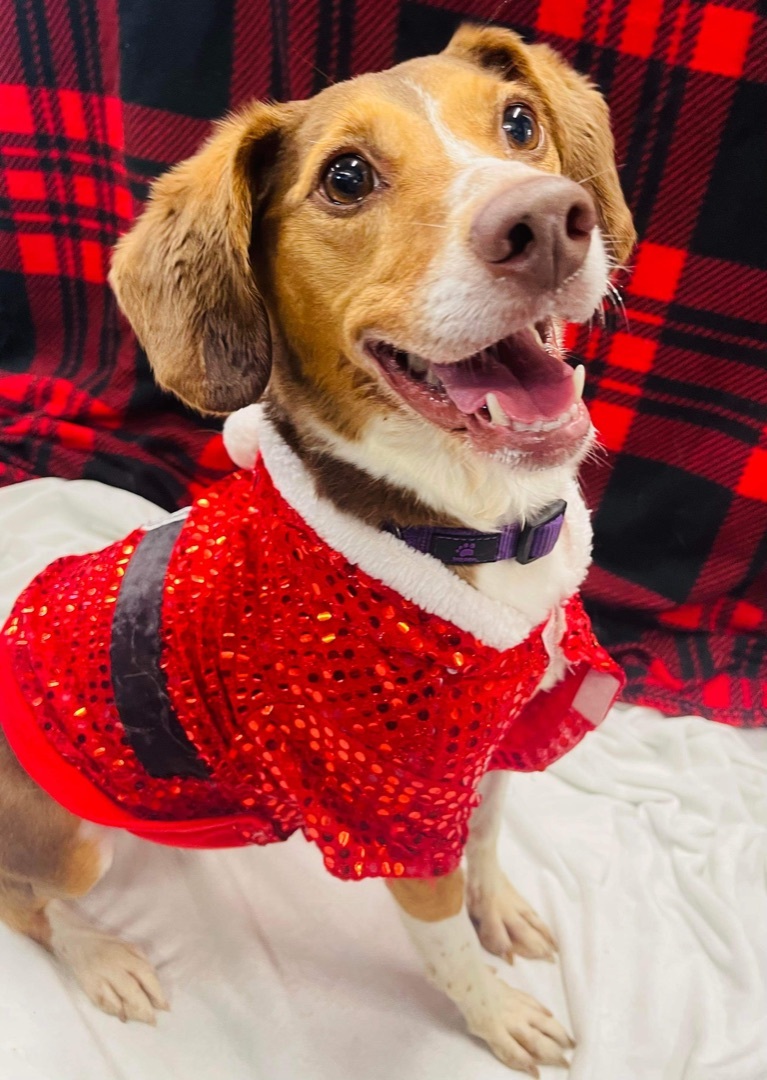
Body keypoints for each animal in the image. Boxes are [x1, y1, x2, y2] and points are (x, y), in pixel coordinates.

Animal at [0, 25, 635, 1080]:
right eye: (345, 177)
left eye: (518, 123)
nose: (548, 219)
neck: (479, 519)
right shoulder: (392, 812)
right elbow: (447, 942)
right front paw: (498, 1011)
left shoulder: (504, 740)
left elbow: (491, 837)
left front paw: (500, 908)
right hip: (64, 837)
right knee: (32, 902)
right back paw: (105, 962)